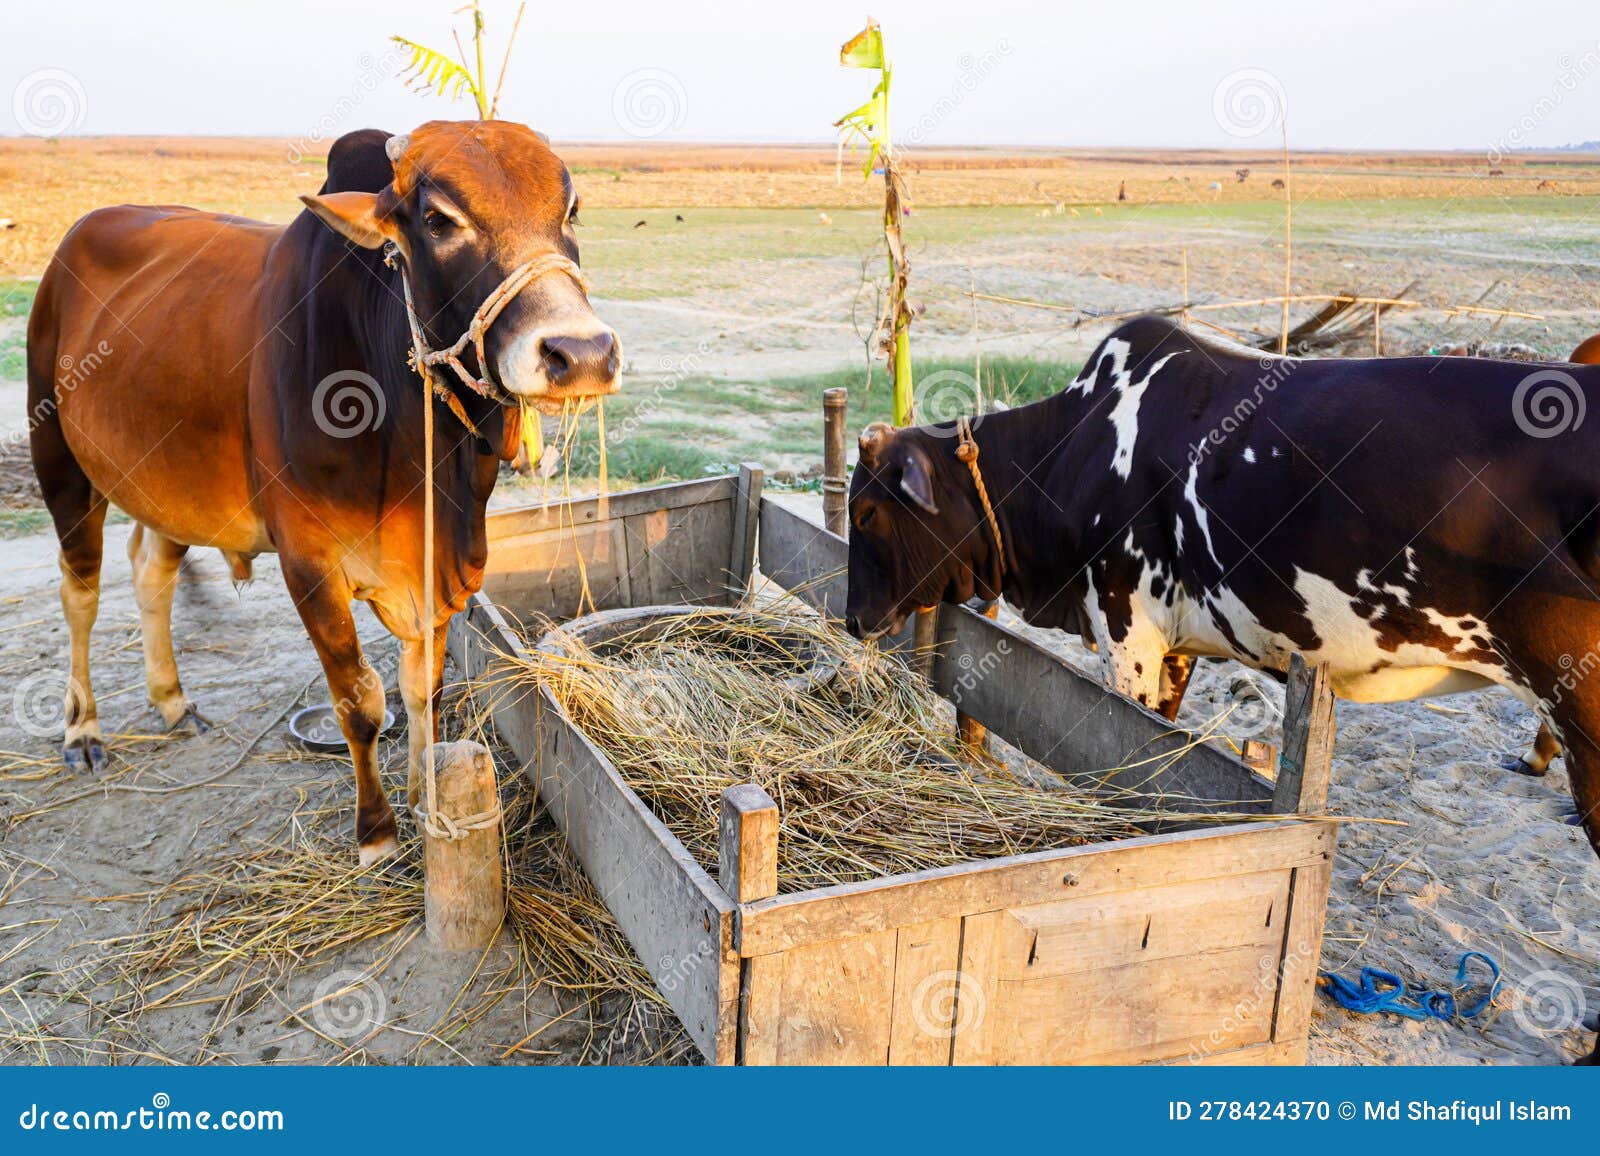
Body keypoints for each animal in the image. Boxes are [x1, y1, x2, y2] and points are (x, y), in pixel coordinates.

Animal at [27, 120, 619, 864]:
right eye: (437, 219)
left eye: (570, 210)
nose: (581, 353)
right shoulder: (308, 561)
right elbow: (359, 702)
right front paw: (377, 834)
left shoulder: (435, 566)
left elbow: (422, 690)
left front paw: (426, 803)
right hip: (61, 462)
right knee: (78, 591)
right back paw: (83, 731)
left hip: (166, 483)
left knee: (150, 572)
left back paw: (173, 702)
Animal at [844, 314, 1598, 1062]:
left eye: (866, 513)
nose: (852, 619)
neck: (1076, 451)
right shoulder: (1175, 648)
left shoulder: (1127, 629)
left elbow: (1119, 762)